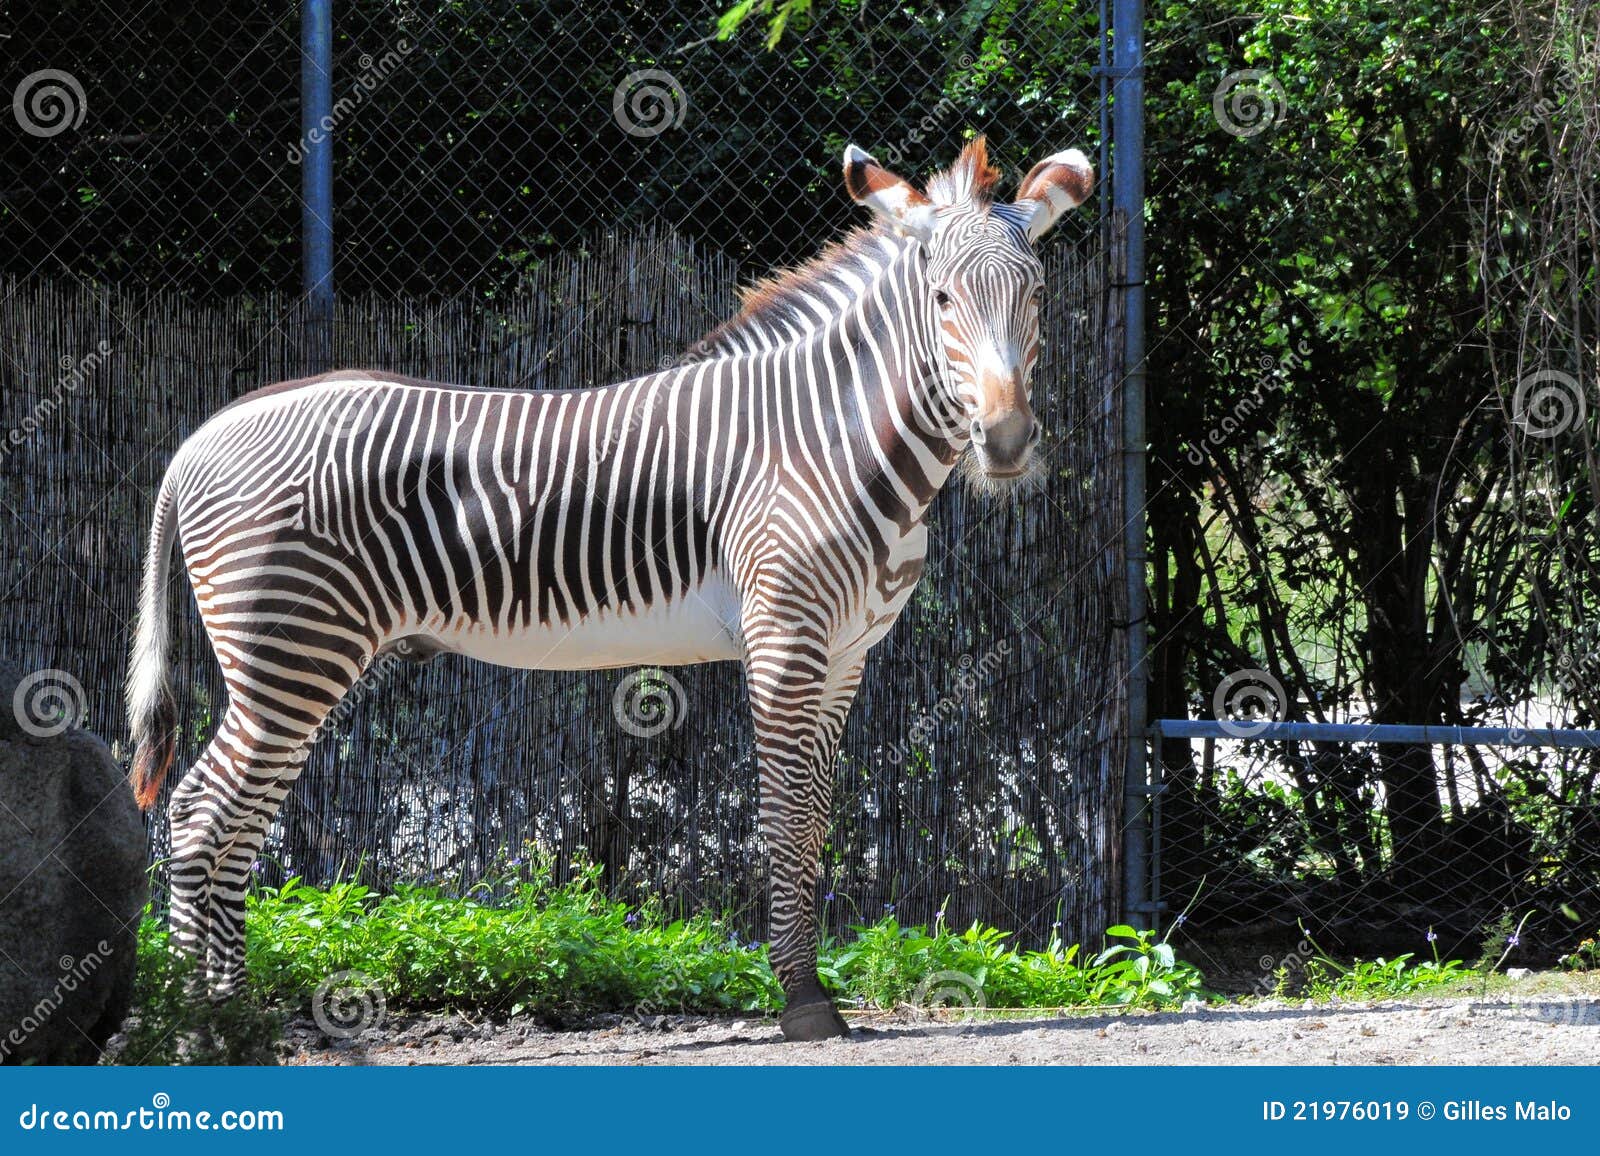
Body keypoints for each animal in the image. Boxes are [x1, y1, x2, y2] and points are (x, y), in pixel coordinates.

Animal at [126, 137, 1093, 1040]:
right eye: (942, 301)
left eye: (1038, 295)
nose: (1006, 442)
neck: (832, 437)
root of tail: (196, 440)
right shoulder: (786, 638)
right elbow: (784, 817)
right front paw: (803, 1001)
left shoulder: (848, 652)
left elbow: (817, 816)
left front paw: (809, 985)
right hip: (294, 650)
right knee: (205, 812)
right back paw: (203, 1016)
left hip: (288, 658)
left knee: (226, 817)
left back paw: (220, 1009)